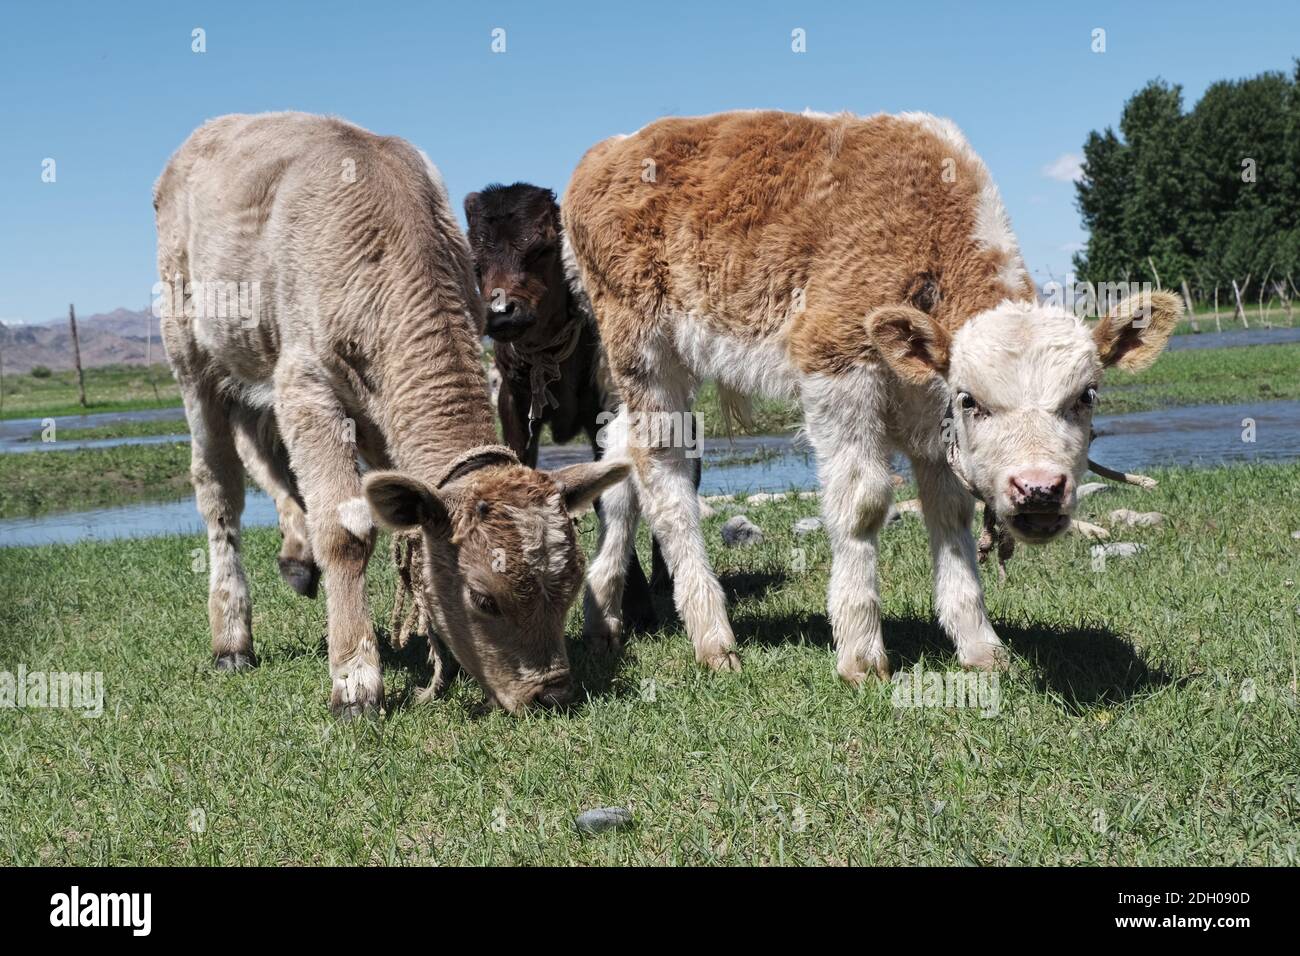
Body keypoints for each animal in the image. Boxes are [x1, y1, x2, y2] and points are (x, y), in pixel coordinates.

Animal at [154, 112, 629, 716]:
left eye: (569, 586)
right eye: (483, 598)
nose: (551, 693)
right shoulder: (305, 388)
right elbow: (347, 531)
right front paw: (356, 679)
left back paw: (297, 562)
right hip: (191, 356)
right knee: (219, 491)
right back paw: (232, 638)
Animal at [560, 110, 1179, 682]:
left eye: (1086, 396)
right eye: (972, 400)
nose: (1040, 489)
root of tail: (609, 149)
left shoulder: (931, 414)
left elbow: (949, 510)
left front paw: (979, 644)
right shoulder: (834, 362)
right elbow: (862, 503)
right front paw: (860, 651)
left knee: (619, 458)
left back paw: (602, 615)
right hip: (645, 348)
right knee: (662, 471)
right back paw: (713, 637)